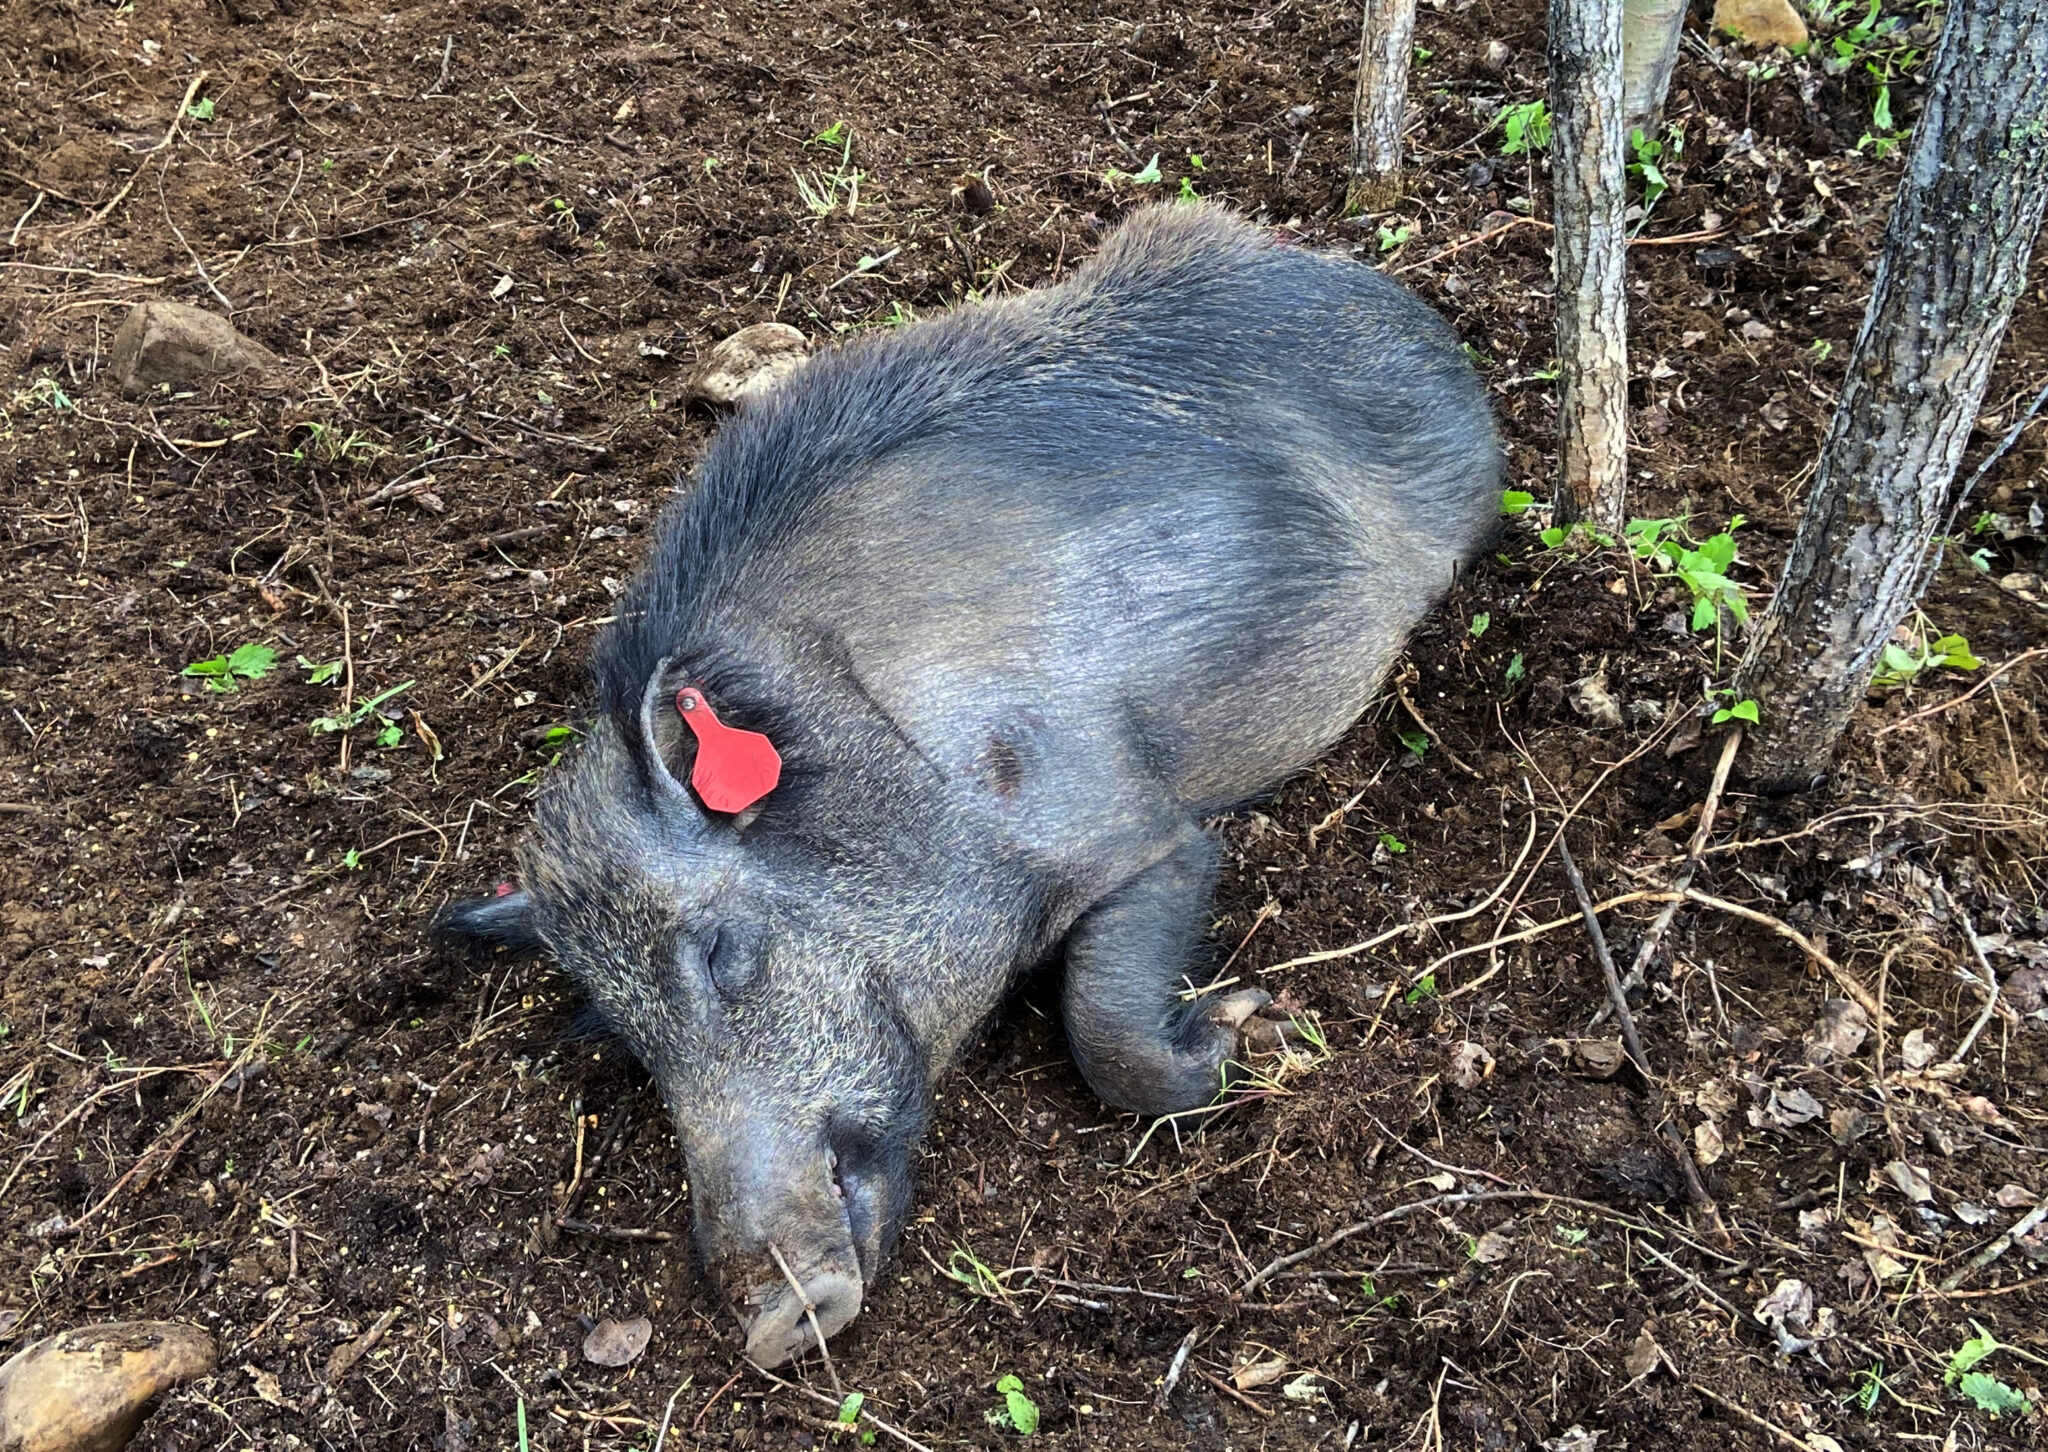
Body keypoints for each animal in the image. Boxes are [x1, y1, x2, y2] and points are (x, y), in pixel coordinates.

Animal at [438, 202, 1503, 1367]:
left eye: (722, 953)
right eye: (628, 1042)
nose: (771, 1317)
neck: (891, 754)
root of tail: (1375, 293)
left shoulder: (1131, 823)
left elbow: (1105, 1021)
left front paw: (1248, 1025)